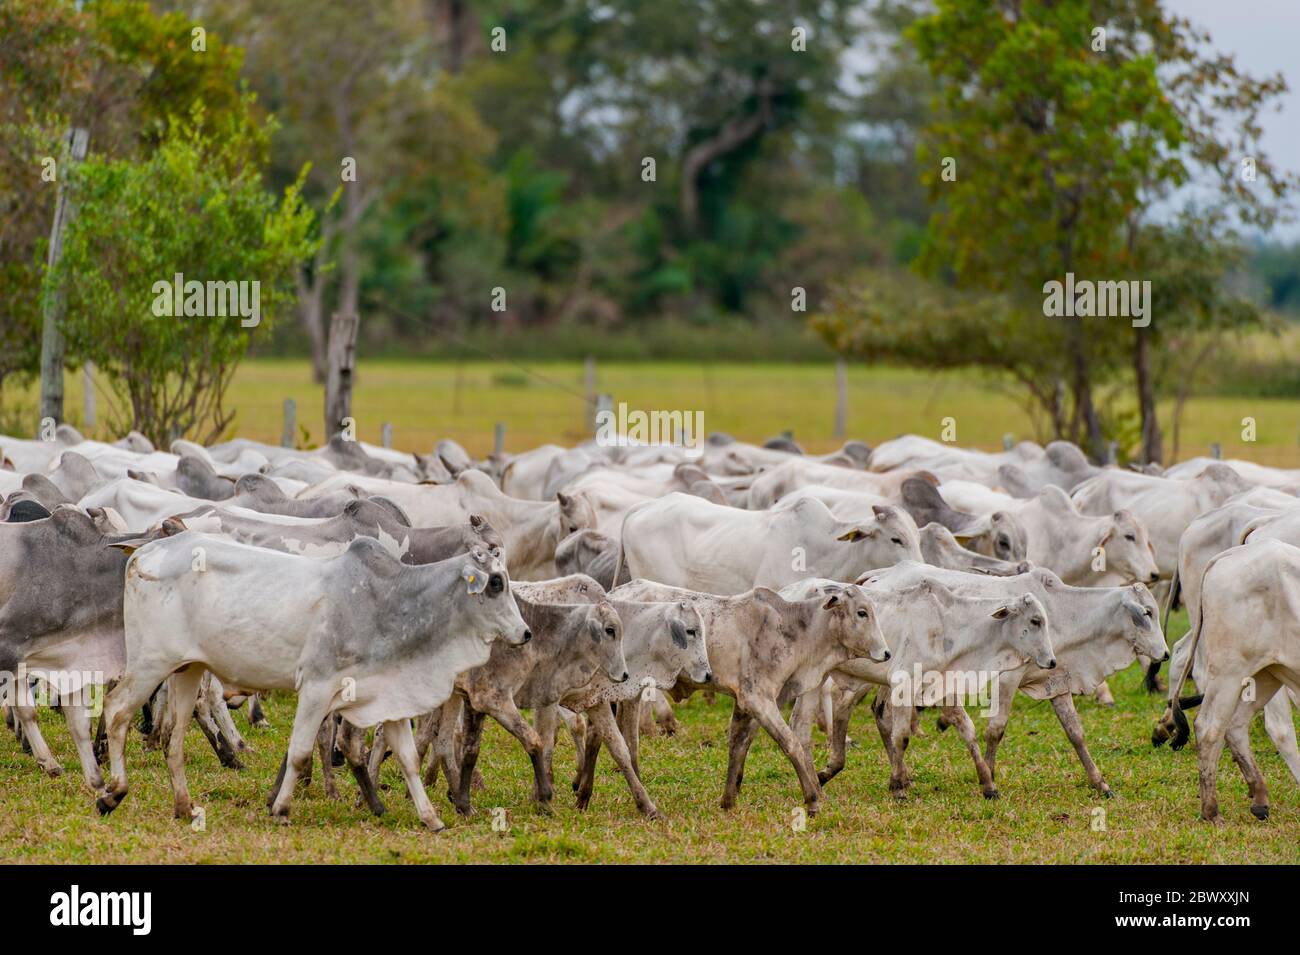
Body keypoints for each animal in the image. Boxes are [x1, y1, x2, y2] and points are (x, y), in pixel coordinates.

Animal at [97, 534, 530, 830]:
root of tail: (144, 552)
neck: (391, 603)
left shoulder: (390, 697)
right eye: (495, 583)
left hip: (187, 669)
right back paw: (112, 793)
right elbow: (301, 752)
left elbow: (408, 759)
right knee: (117, 711)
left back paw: (184, 807)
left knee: (174, 739)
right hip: (150, 663)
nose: (525, 633)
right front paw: (281, 809)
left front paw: (431, 818)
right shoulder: (317, 689)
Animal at [610, 579, 888, 814]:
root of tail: (615, 593)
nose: (886, 653)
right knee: (626, 737)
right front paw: (812, 800)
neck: (791, 630)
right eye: (862, 612)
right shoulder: (758, 698)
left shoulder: (748, 703)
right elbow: (791, 745)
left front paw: (728, 800)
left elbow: (739, 744)